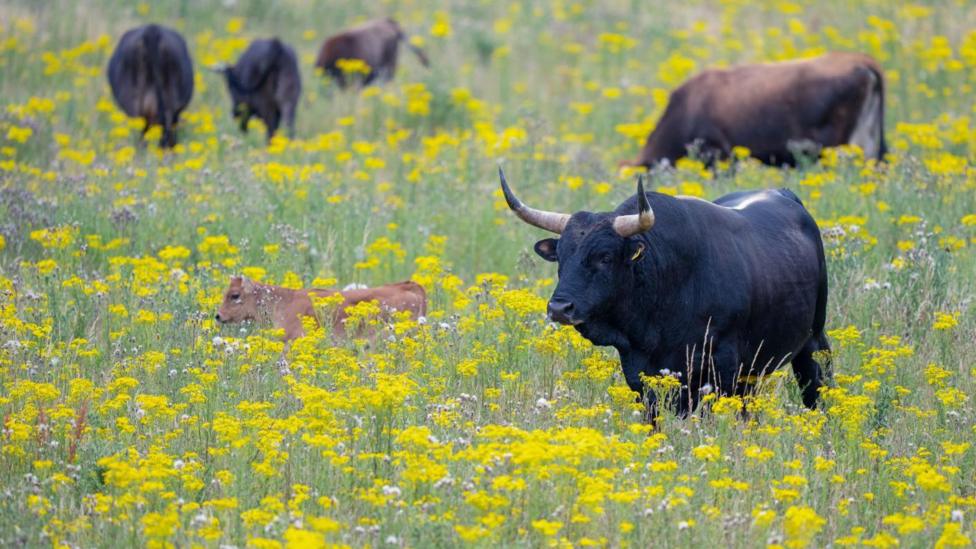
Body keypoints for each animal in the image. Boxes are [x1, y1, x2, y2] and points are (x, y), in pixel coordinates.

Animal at [498, 167, 831, 420]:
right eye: (561, 256)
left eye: (605, 257)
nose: (559, 308)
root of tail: (785, 195)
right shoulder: (640, 374)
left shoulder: (721, 368)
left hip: (813, 342)